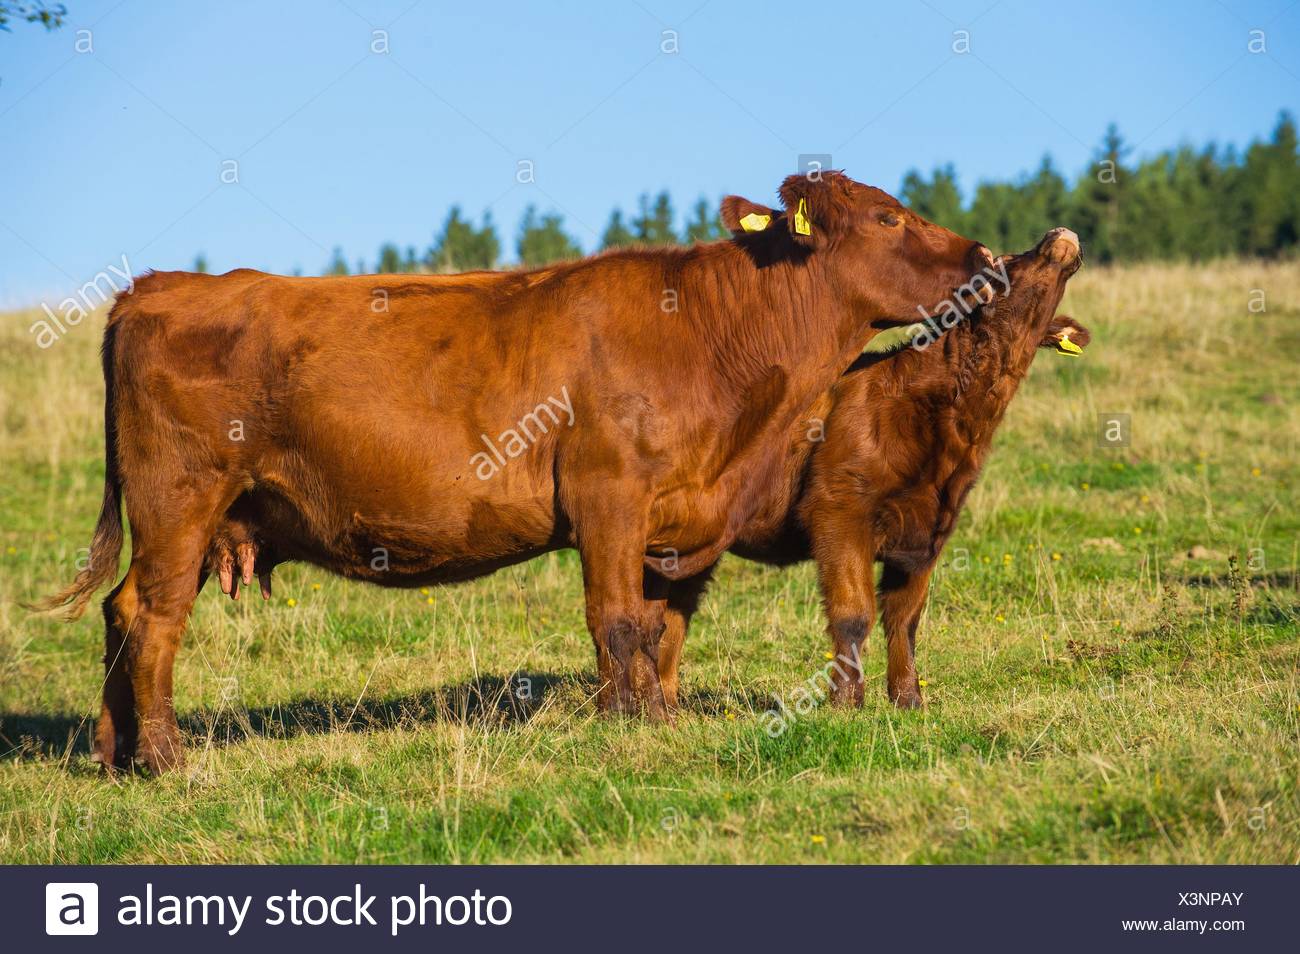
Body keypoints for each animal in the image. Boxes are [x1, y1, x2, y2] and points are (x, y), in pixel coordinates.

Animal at [35, 171, 993, 774]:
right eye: (889, 218)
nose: (985, 260)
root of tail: (161, 284)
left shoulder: (671, 518)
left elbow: (660, 626)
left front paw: (659, 719)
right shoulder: (609, 496)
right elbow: (617, 623)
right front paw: (624, 726)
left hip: (198, 516)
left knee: (123, 609)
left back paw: (115, 756)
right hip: (179, 499)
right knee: (154, 619)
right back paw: (166, 759)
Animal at [650, 227, 1087, 711]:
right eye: (1008, 262)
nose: (1061, 235)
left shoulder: (931, 530)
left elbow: (905, 618)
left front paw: (908, 697)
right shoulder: (838, 512)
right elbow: (854, 614)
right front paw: (845, 701)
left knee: (674, 611)